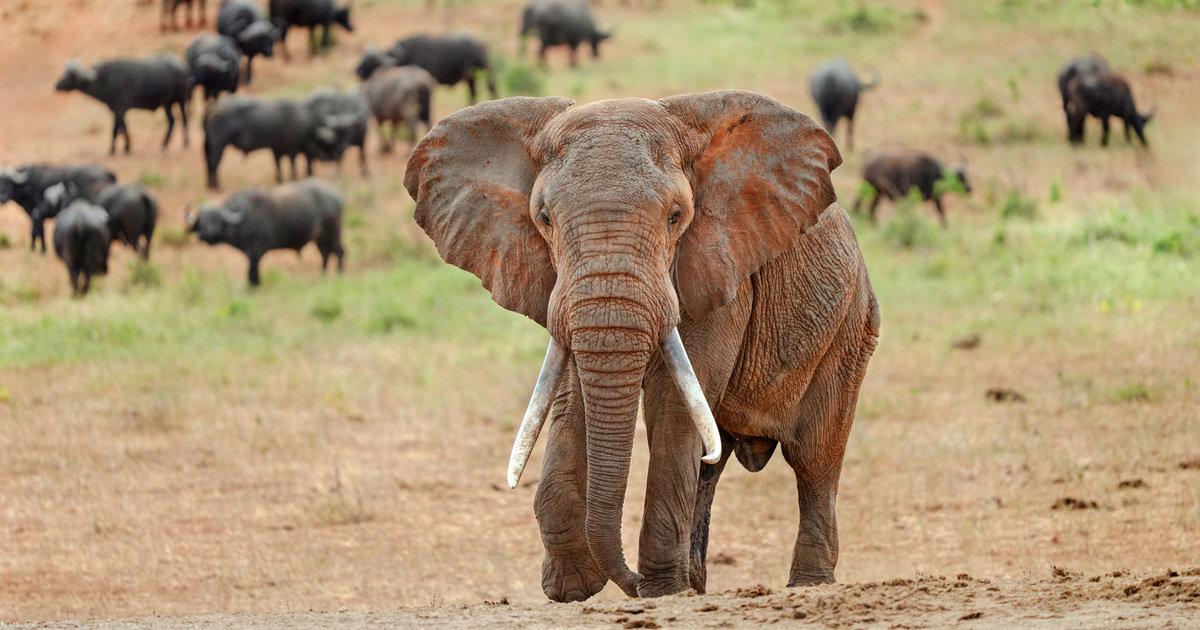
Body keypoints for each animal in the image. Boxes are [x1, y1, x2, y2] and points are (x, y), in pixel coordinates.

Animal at [404, 90, 880, 601]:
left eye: (676, 217)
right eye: (544, 219)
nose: (628, 581)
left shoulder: (717, 269)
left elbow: (673, 408)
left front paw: (659, 591)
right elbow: (574, 400)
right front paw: (572, 587)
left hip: (850, 326)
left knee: (814, 459)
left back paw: (805, 586)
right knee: (711, 465)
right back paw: (697, 583)